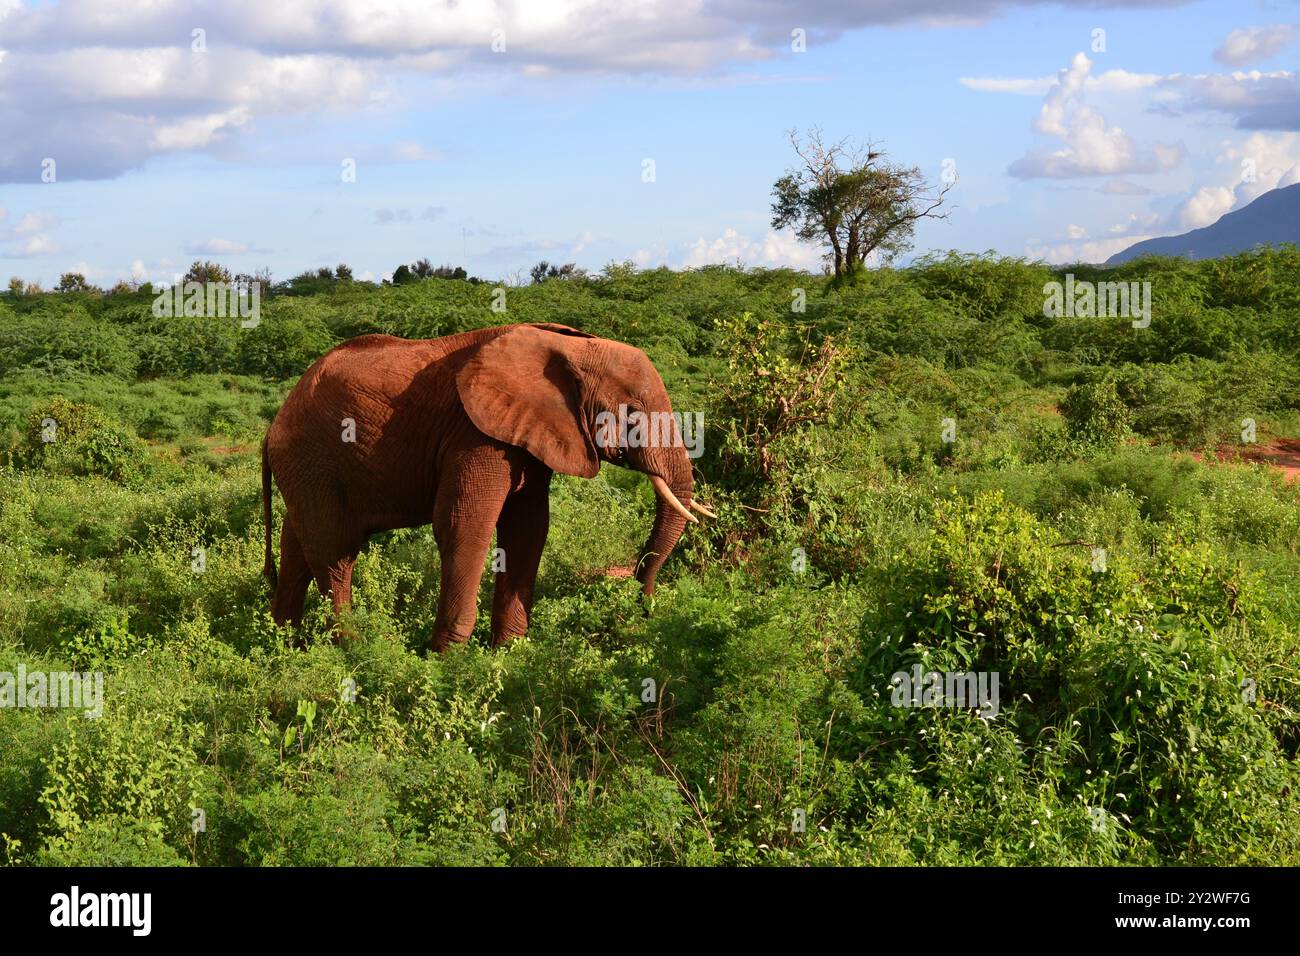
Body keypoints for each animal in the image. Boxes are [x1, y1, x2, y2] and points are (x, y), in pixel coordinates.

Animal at [260, 322, 713, 651]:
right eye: (632, 413)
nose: (644, 606)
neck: (568, 348)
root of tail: (272, 426)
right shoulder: (475, 434)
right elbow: (464, 525)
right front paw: (447, 661)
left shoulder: (528, 434)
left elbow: (528, 529)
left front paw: (509, 654)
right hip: (311, 461)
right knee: (334, 553)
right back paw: (354, 650)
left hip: (303, 470)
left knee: (297, 548)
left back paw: (284, 647)